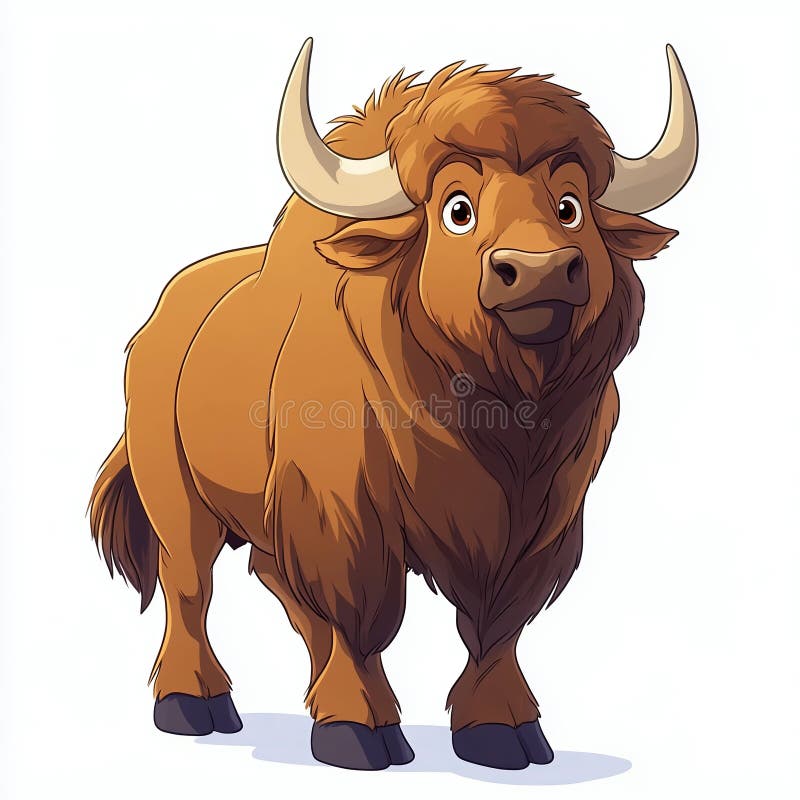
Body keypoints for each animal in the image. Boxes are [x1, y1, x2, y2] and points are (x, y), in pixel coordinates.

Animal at [90, 39, 697, 770]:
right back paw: (194, 705)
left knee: (275, 585)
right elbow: (364, 613)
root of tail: (158, 322)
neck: (490, 411)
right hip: (178, 498)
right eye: (457, 208)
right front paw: (358, 731)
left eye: (570, 205)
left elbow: (498, 623)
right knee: (189, 587)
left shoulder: (545, 517)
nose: (541, 269)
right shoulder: (344, 512)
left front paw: (505, 731)